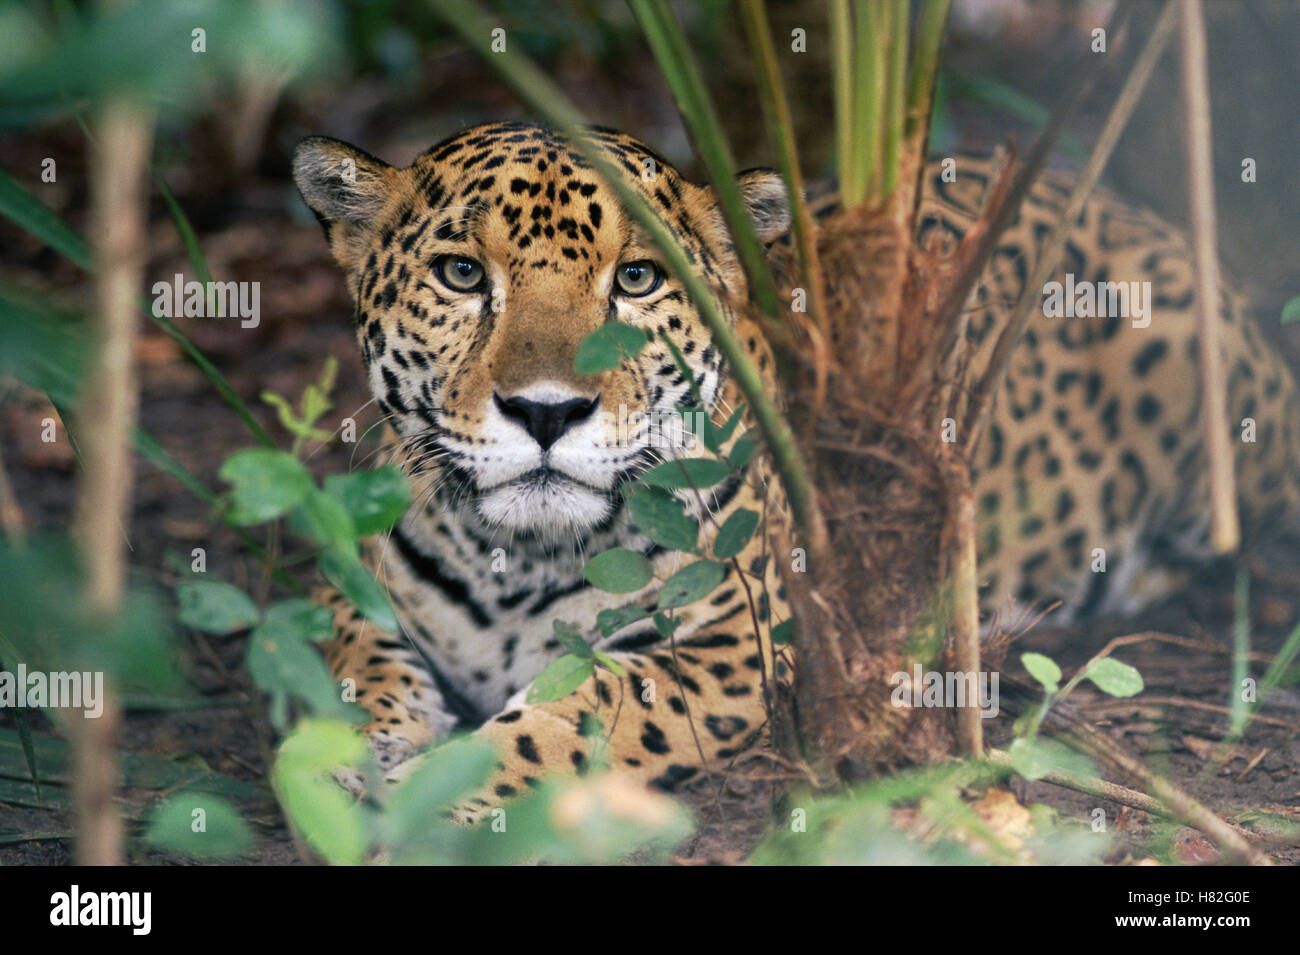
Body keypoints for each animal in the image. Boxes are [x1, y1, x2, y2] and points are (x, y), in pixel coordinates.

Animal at [292, 120, 1300, 824]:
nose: (546, 411)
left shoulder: (735, 649)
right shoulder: (348, 584)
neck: (521, 558)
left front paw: (434, 790)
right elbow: (351, 665)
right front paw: (353, 753)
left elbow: (572, 710)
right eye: (462, 275)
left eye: (638, 280)